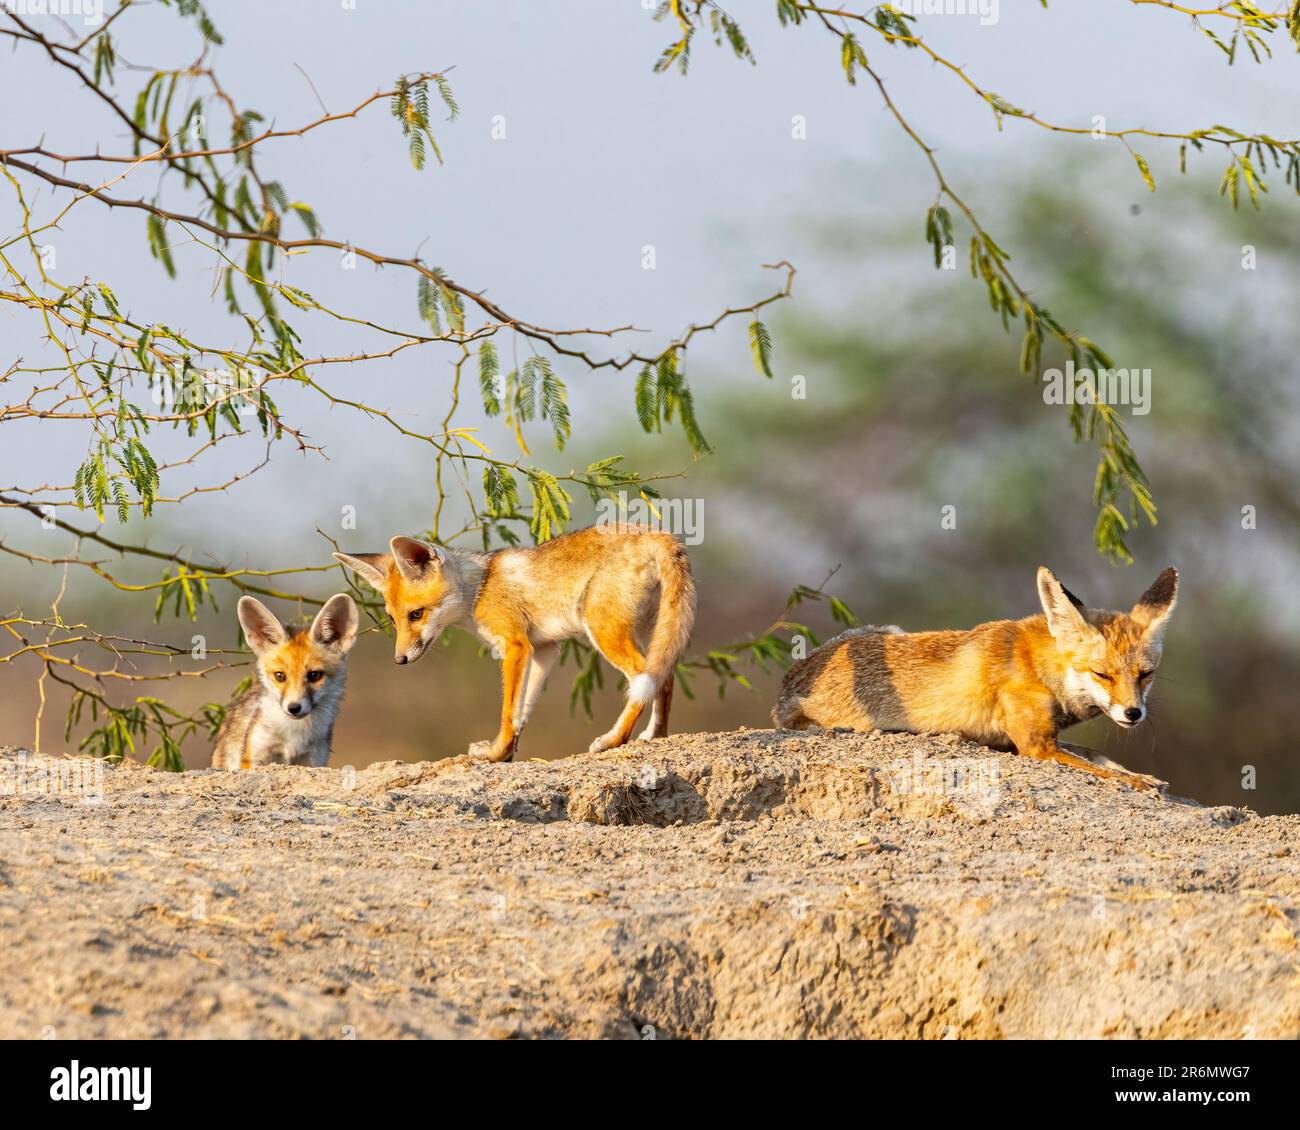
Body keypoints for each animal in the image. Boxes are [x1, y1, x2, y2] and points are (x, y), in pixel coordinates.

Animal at [210, 593, 360, 770]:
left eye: (314, 675)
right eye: (280, 676)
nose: (293, 708)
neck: (293, 736)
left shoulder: (313, 760)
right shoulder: (254, 756)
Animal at [334, 525, 696, 763]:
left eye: (416, 614)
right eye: (394, 621)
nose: (400, 660)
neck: (480, 588)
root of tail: (652, 532)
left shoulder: (515, 645)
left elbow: (508, 712)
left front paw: (496, 753)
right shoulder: (545, 649)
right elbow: (522, 711)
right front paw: (508, 752)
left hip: (605, 632)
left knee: (642, 679)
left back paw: (614, 740)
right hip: (650, 634)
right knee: (664, 677)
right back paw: (654, 736)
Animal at [772, 566, 1179, 791]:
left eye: (1146, 675)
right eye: (1102, 674)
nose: (1133, 714)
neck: (1038, 667)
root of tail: (790, 685)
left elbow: (1098, 757)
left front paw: (1144, 775)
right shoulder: (1036, 747)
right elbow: (1101, 769)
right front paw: (1139, 781)